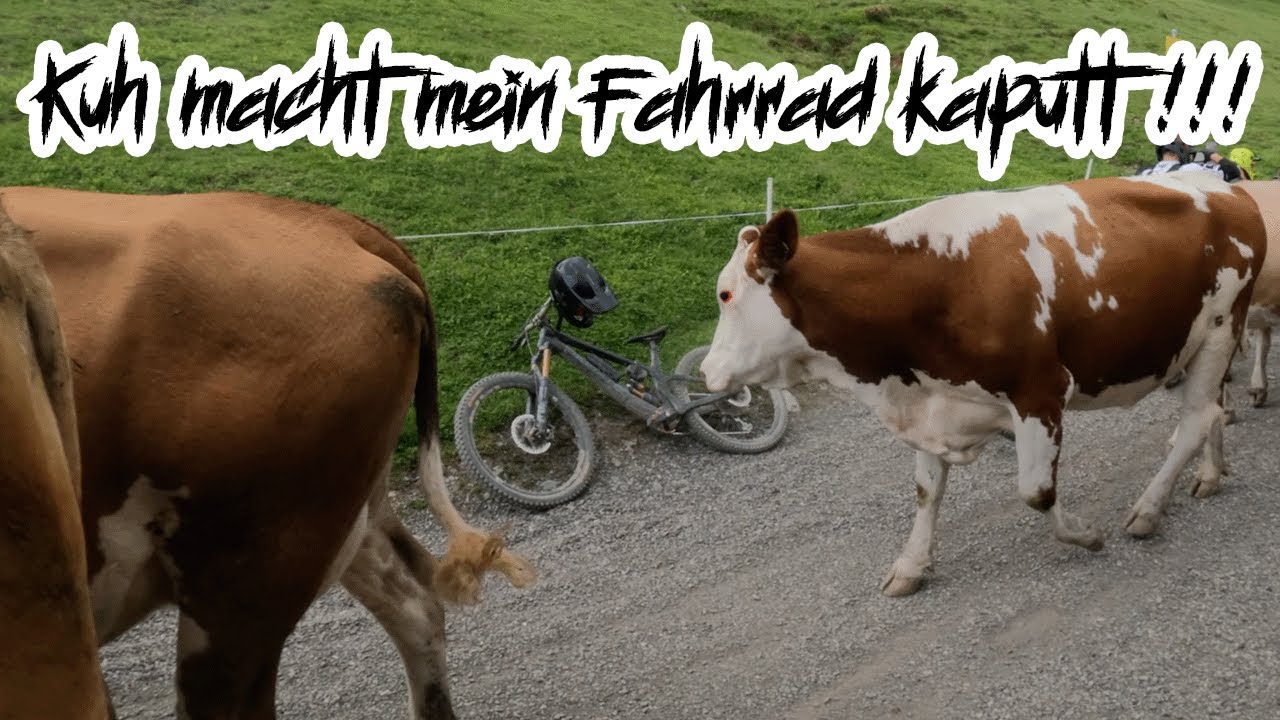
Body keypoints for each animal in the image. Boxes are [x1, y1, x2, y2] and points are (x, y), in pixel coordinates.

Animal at [698, 171, 1267, 597]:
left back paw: (1149, 510)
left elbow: (1036, 491)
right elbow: (927, 490)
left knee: (1195, 420)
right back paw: (1211, 474)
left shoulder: (1040, 391)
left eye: (725, 294)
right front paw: (911, 566)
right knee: (1215, 409)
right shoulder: (932, 399)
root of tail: (1229, 190)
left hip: (1221, 327)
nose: (706, 373)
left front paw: (1086, 535)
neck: (937, 282)